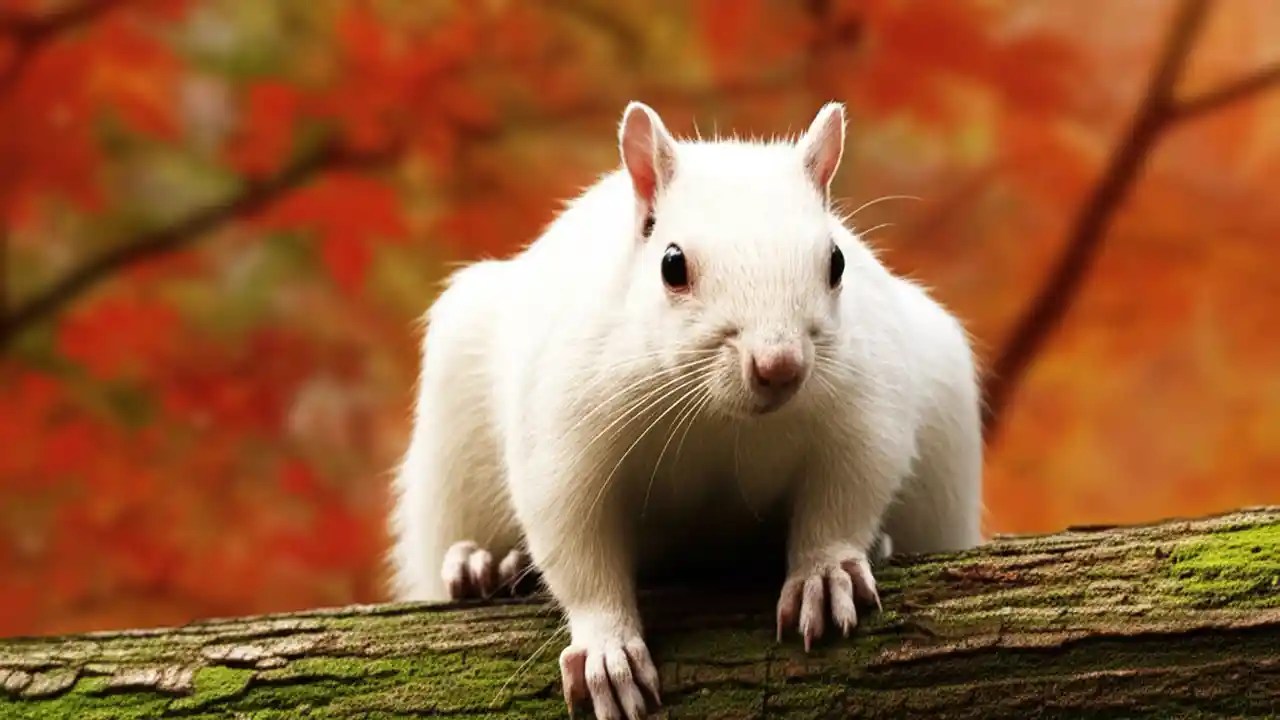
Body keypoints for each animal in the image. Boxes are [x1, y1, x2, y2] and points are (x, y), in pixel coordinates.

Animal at [389, 100, 984, 720]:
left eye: (837, 261)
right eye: (672, 265)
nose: (779, 367)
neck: (722, 420)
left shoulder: (865, 408)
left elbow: (846, 494)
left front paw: (825, 572)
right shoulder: (567, 429)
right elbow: (576, 541)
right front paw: (607, 647)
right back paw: (480, 563)